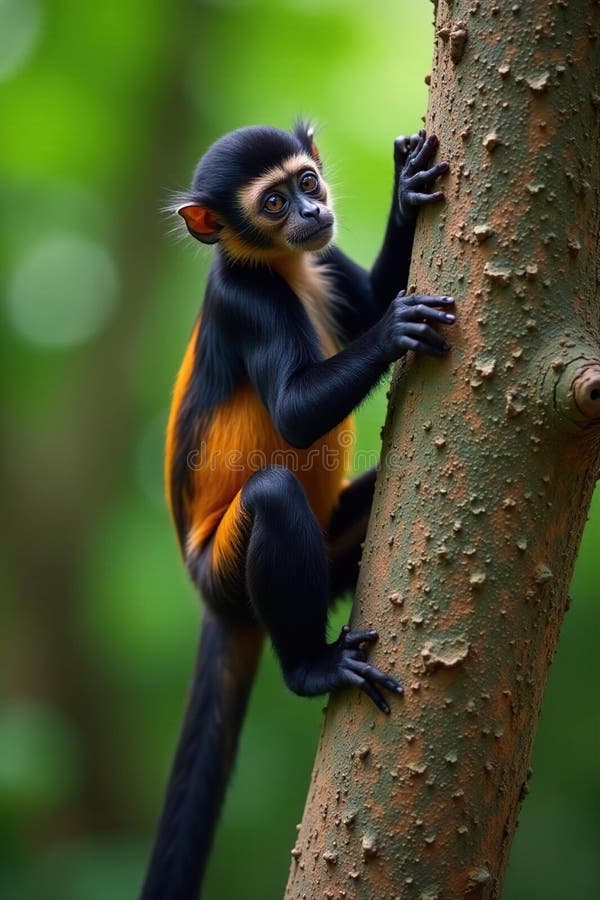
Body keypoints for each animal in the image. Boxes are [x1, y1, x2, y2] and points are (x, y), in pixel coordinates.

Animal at [139, 121, 454, 900]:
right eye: (275, 202)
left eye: (307, 182)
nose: (312, 212)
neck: (281, 266)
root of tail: (215, 605)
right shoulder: (244, 297)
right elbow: (293, 412)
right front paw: (395, 330)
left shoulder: (325, 258)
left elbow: (366, 297)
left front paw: (408, 188)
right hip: (224, 570)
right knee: (275, 498)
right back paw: (311, 667)